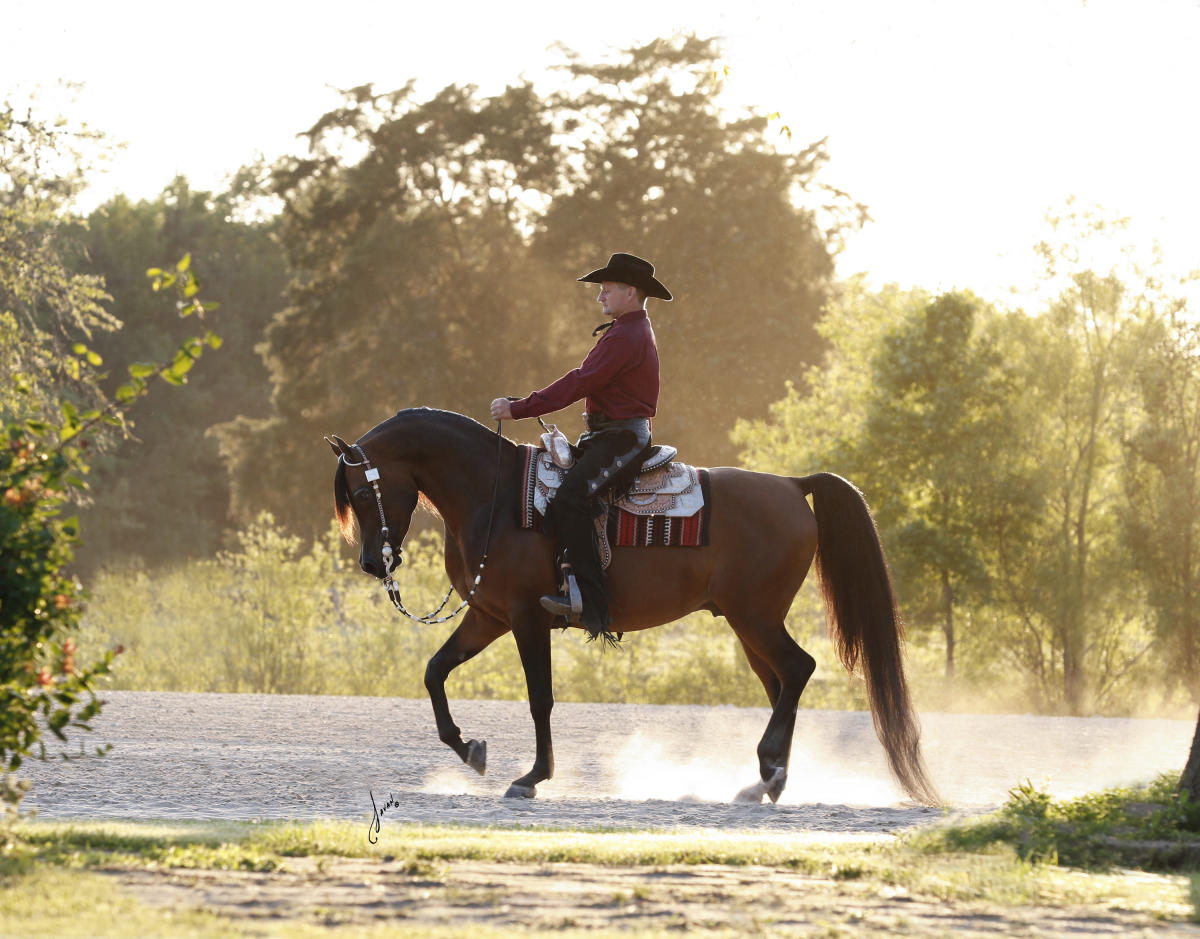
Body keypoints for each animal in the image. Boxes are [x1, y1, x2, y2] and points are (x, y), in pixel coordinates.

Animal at [327, 407, 938, 805]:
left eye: (360, 494)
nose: (371, 564)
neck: (492, 498)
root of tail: (792, 484)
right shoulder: (489, 616)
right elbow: (435, 671)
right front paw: (468, 749)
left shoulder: (527, 618)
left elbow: (540, 699)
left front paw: (532, 778)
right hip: (749, 624)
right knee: (782, 681)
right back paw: (771, 777)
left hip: (756, 617)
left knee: (799, 668)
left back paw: (765, 775)